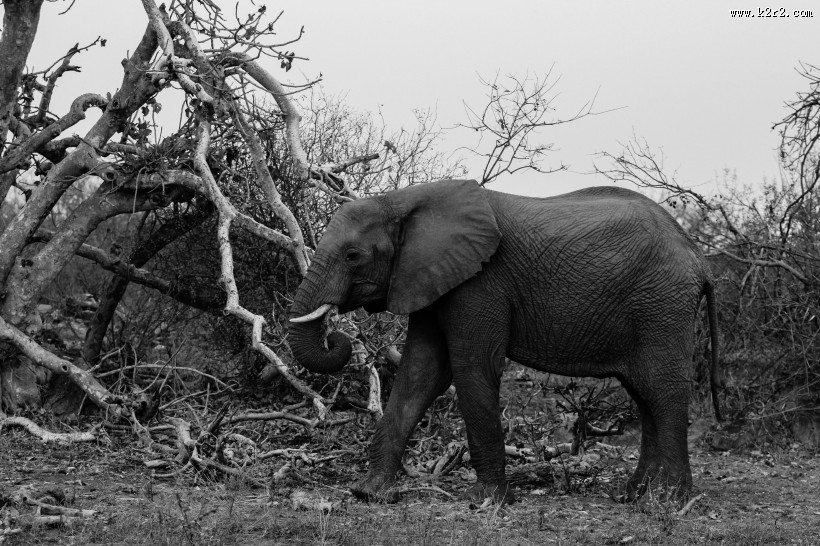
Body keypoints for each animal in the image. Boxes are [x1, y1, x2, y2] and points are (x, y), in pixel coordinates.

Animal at [288, 179, 721, 505]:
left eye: (352, 255)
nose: (336, 337)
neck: (403, 201)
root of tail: (700, 259)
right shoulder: (429, 277)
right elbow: (420, 373)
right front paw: (368, 494)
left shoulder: (480, 282)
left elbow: (470, 367)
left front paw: (486, 501)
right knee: (644, 395)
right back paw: (634, 495)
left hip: (662, 305)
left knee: (662, 390)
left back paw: (665, 502)